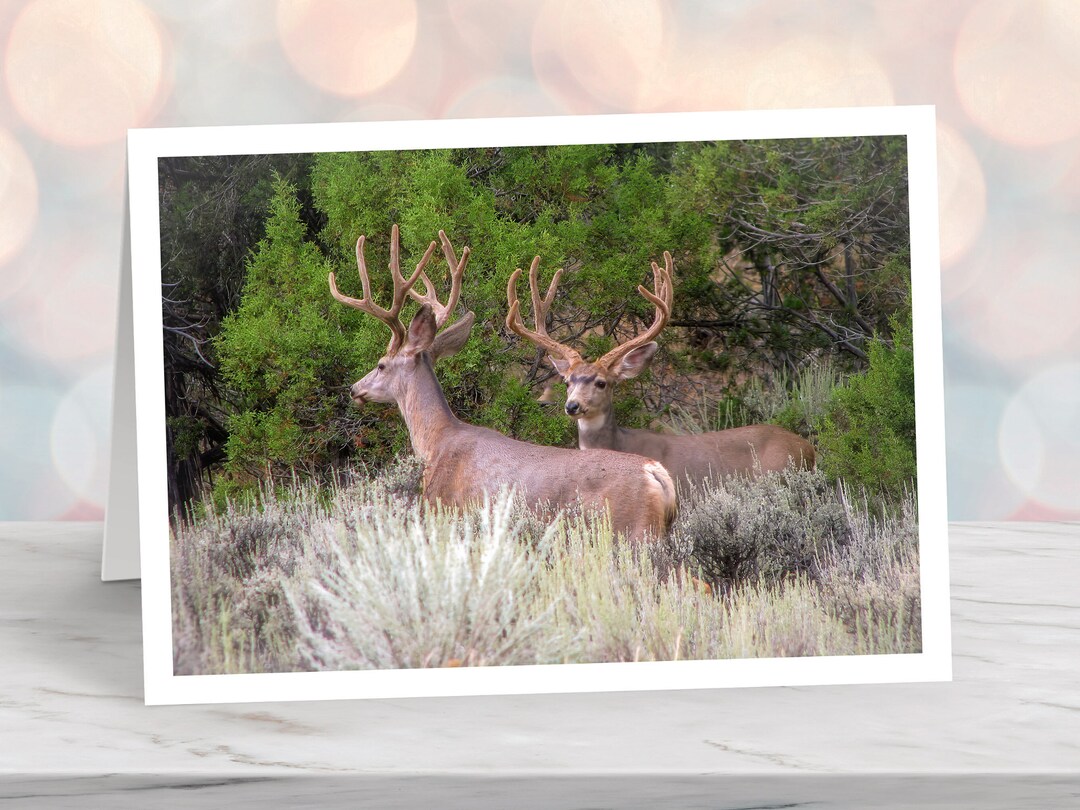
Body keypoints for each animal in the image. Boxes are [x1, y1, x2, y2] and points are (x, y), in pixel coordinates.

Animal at [328, 225, 676, 544]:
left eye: (381, 365)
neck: (437, 443)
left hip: (633, 532)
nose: (355, 389)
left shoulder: (445, 510)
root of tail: (656, 474)